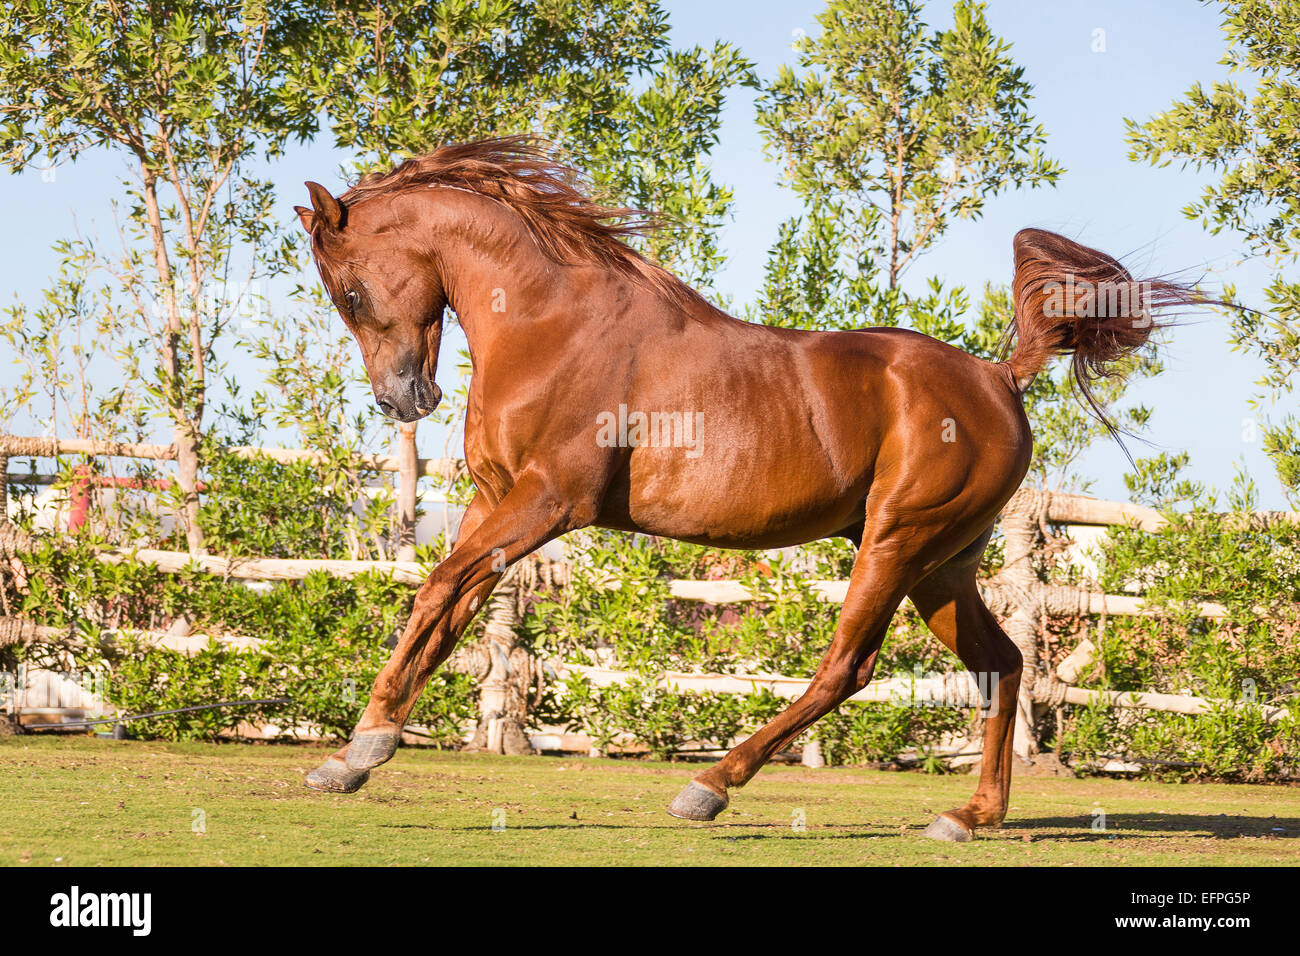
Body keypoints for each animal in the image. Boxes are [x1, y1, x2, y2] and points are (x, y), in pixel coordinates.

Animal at [293, 136, 1207, 841]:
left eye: (350, 292)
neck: (552, 325)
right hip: (943, 565)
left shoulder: (548, 503)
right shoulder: (494, 502)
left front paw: (359, 748)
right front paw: (356, 755)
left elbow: (438, 589)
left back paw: (710, 788)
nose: (402, 402)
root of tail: (1000, 378)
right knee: (1001, 664)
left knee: (848, 667)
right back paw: (968, 817)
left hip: (897, 542)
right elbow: (447, 610)